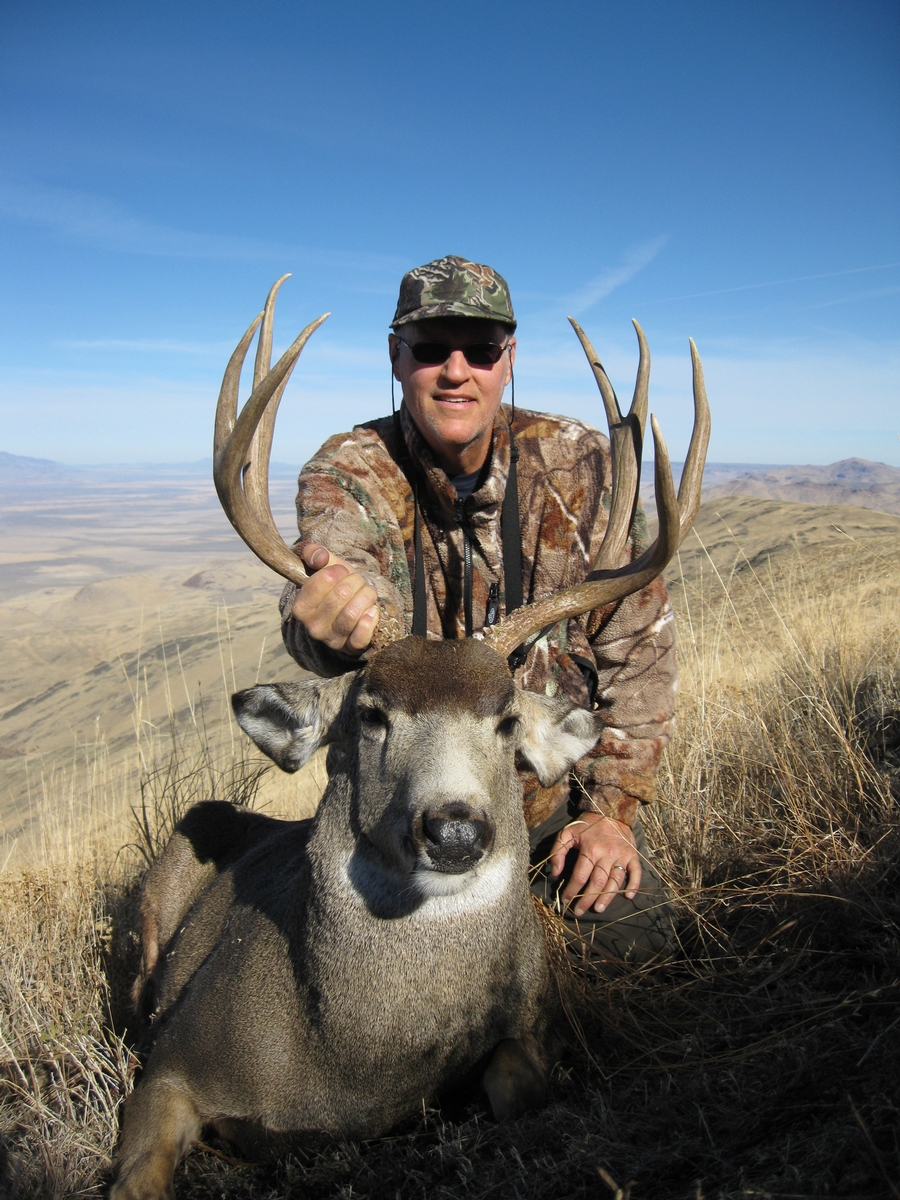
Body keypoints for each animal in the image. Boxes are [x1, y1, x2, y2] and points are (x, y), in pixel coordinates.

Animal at [110, 277, 709, 1200]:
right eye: (371, 713)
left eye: (506, 718)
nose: (455, 827)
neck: (355, 1066)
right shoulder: (173, 1063)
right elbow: (133, 1172)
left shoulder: (527, 1031)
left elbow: (519, 1084)